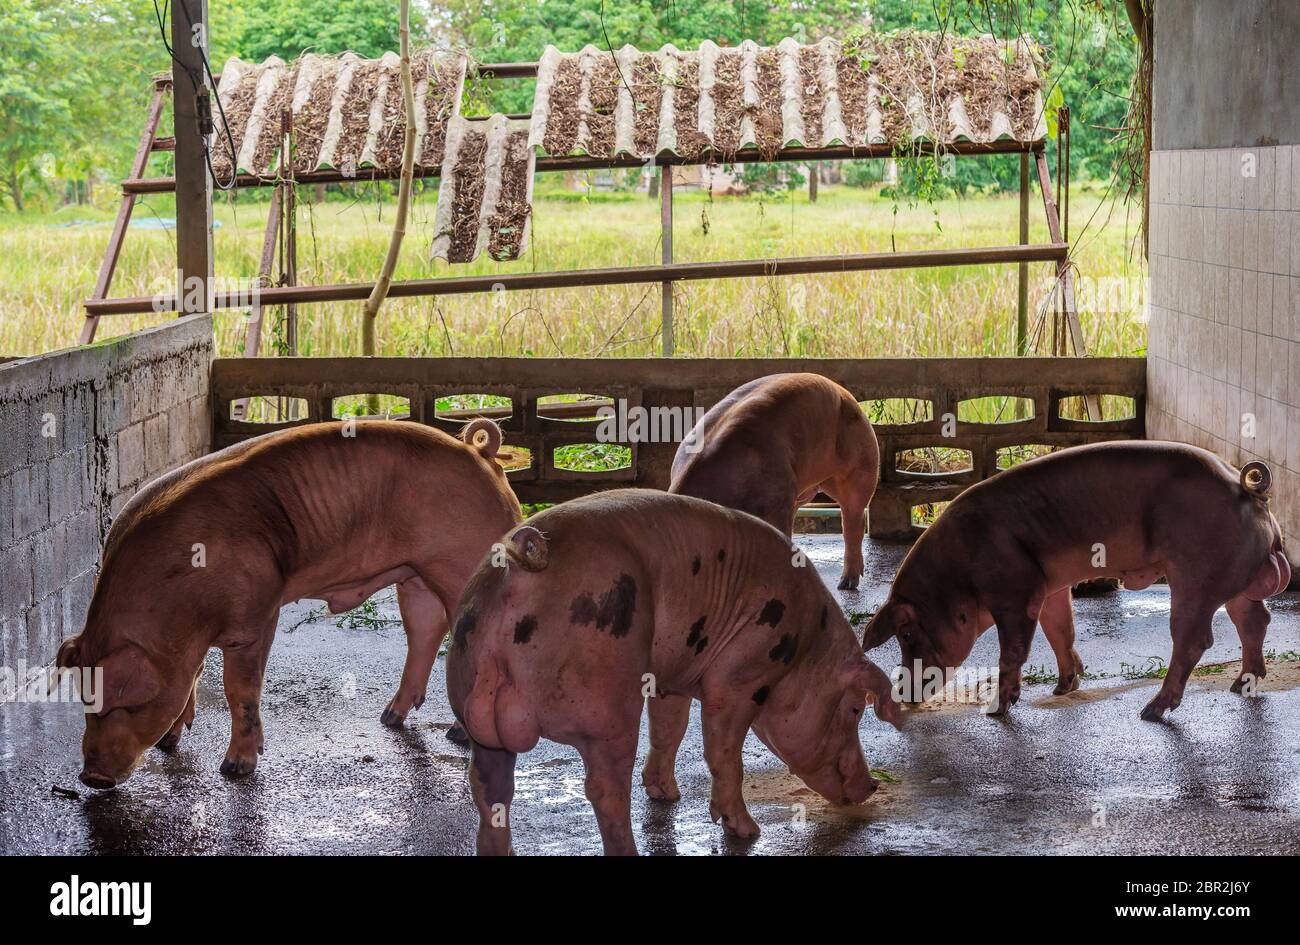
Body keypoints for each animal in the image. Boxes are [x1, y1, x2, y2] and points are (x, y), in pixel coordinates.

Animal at [56, 418, 521, 789]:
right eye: (86, 702)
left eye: (129, 705)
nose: (91, 777)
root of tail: (479, 452)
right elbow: (195, 676)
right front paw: (170, 742)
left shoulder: (256, 612)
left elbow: (241, 689)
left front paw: (235, 769)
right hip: (415, 577)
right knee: (425, 632)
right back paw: (389, 717)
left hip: (465, 564)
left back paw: (459, 736)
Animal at [446, 489, 901, 855]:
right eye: (856, 710)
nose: (873, 785)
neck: (805, 649)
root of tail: (523, 565)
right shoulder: (739, 678)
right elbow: (723, 753)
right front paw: (747, 832)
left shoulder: (672, 679)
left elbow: (670, 729)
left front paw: (666, 794)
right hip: (606, 706)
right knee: (604, 790)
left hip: (471, 699)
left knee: (489, 791)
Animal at [669, 373, 880, 590]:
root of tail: (845, 393)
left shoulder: (775, 499)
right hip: (797, 488)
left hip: (859, 465)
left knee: (852, 521)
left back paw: (846, 584)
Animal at [862, 441, 1291, 721]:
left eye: (907, 635)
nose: (902, 692)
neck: (957, 577)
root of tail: (1245, 486)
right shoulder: (1050, 586)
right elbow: (1060, 631)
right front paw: (1063, 687)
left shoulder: (1015, 591)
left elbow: (1013, 649)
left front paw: (997, 710)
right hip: (1235, 575)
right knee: (1254, 618)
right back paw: (1241, 684)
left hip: (1195, 574)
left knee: (1195, 639)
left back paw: (1151, 711)